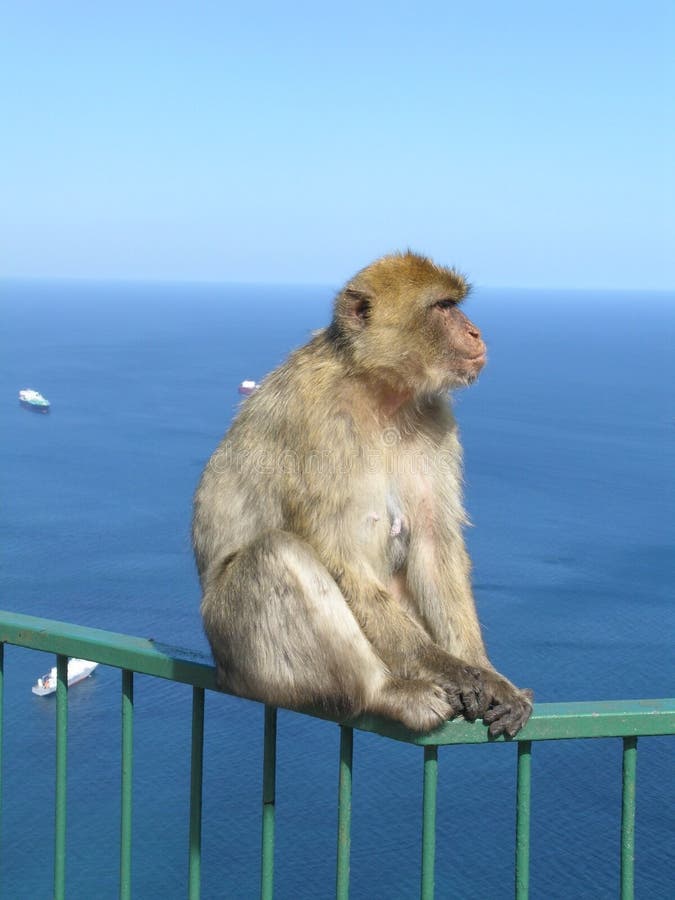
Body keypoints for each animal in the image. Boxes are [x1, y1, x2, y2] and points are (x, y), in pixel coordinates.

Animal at [193, 251, 533, 738]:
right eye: (443, 307)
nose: (475, 332)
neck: (378, 389)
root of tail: (223, 673)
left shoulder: (434, 419)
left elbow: (434, 545)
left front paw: (487, 674)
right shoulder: (316, 424)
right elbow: (340, 556)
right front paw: (451, 668)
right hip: (245, 658)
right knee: (275, 553)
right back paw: (387, 692)